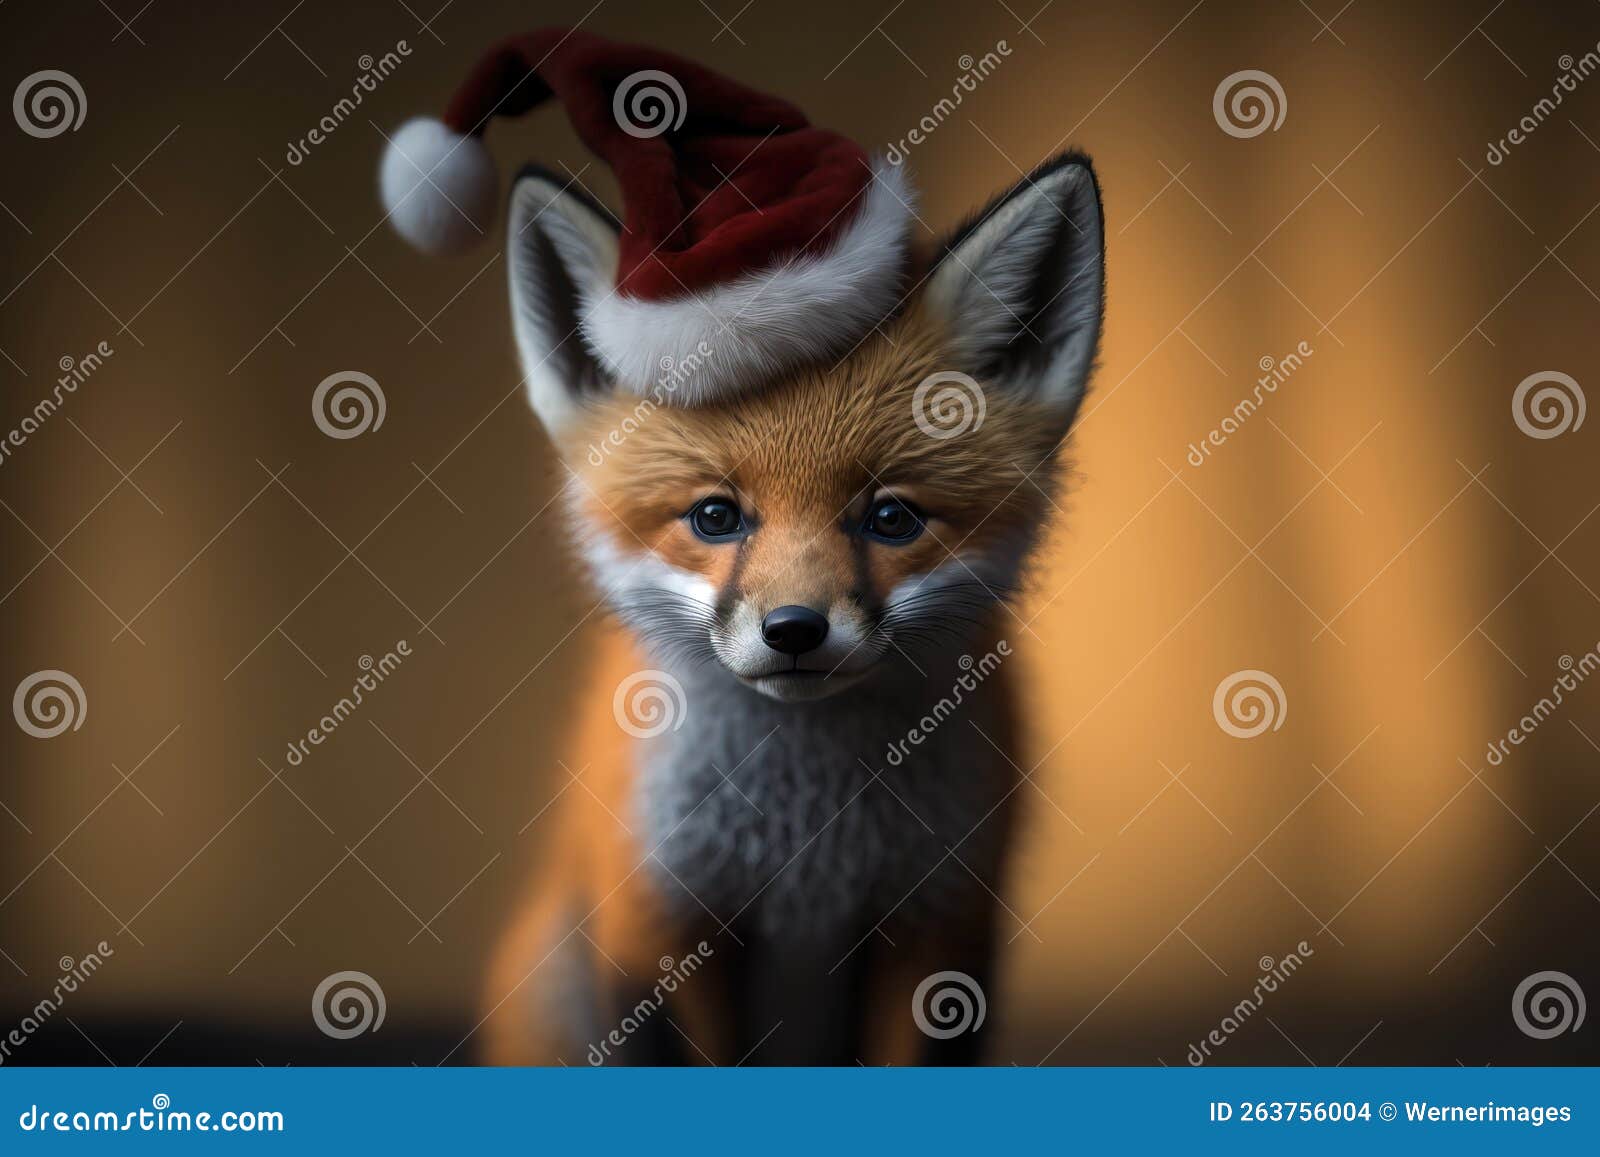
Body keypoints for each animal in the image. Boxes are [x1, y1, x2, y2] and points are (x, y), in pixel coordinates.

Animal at [467, 145, 1107, 1066]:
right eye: (715, 516)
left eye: (891, 518)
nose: (795, 629)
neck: (808, 847)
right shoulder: (652, 924)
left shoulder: (940, 928)